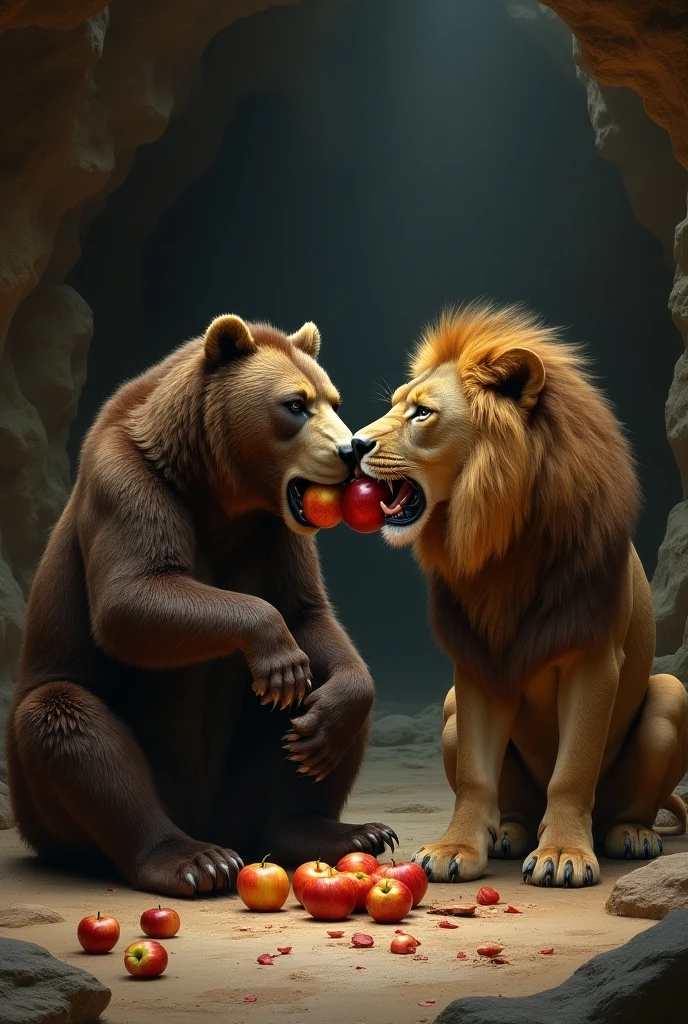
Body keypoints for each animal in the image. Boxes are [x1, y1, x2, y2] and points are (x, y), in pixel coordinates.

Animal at [6, 314, 397, 897]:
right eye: (294, 404)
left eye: (332, 398)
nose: (352, 449)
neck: (220, 490)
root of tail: (208, 820)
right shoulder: (132, 482)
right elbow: (133, 598)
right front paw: (279, 657)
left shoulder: (273, 528)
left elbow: (308, 613)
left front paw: (324, 720)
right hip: (48, 793)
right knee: (69, 724)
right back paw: (194, 859)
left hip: (237, 793)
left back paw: (344, 831)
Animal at [352, 302, 688, 888]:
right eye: (394, 405)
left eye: (422, 413)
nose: (350, 444)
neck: (502, 540)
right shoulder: (477, 662)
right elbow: (474, 777)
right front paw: (455, 849)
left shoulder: (593, 658)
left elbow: (572, 771)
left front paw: (564, 855)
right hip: (450, 710)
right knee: (512, 805)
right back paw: (507, 833)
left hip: (671, 694)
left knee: (624, 805)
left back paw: (631, 835)